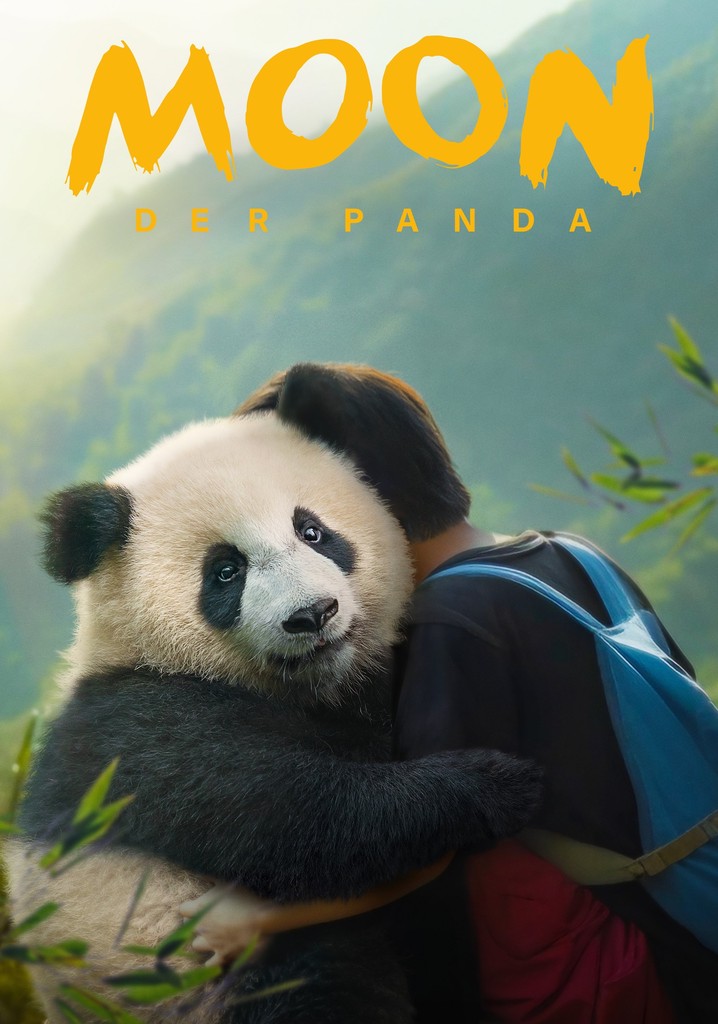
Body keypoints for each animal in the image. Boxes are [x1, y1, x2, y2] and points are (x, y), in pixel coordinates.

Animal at [7, 410, 541, 1023]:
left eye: (312, 531)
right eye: (225, 571)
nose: (313, 614)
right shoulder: (137, 727)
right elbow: (291, 815)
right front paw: (496, 784)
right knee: (324, 981)